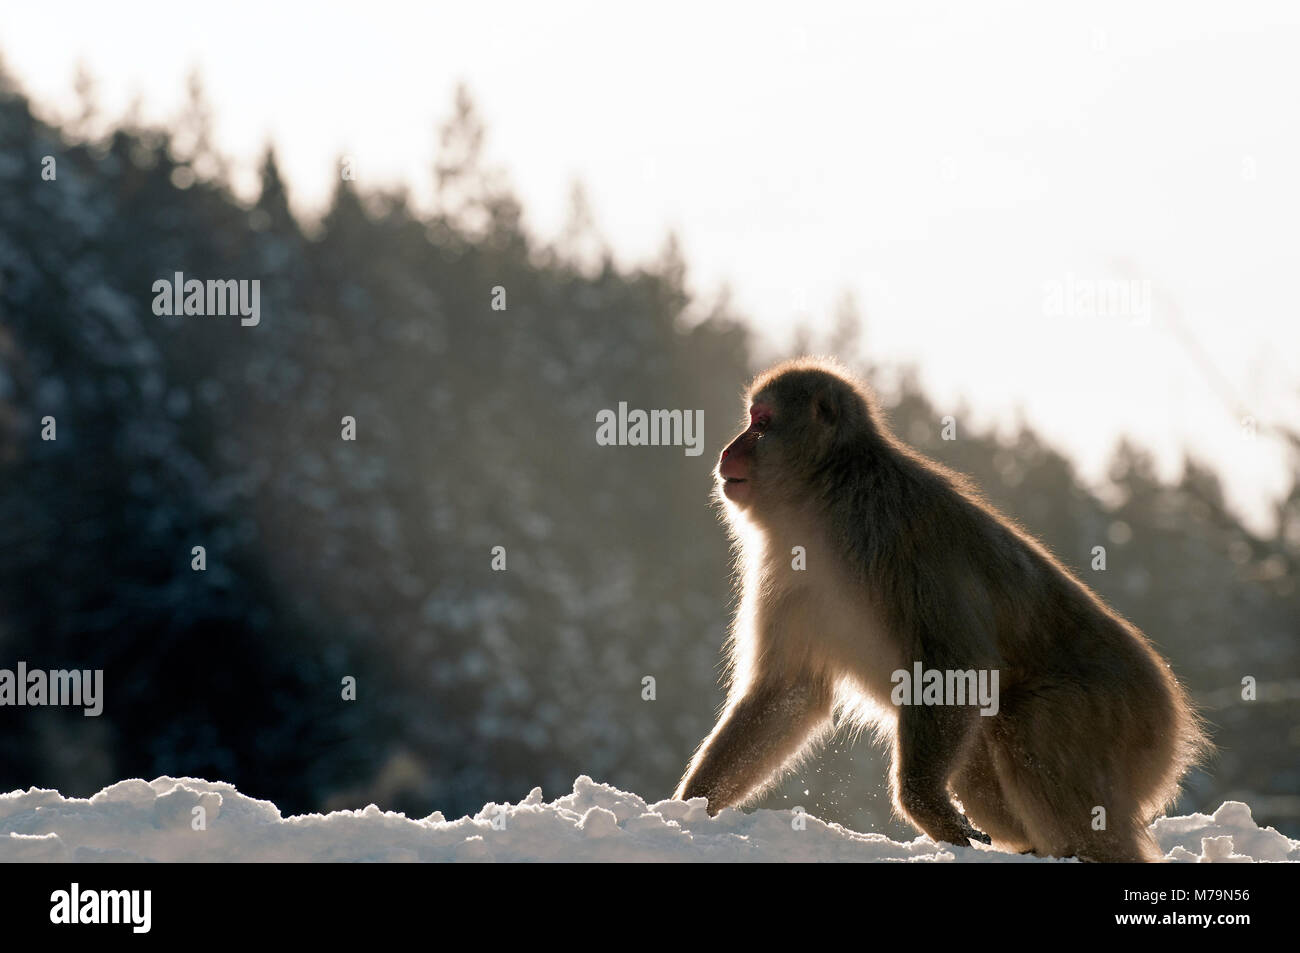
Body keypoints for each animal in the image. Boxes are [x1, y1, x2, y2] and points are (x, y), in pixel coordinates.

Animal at [673, 357, 1208, 862]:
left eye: (761, 423)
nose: (728, 450)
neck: (824, 499)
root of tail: (1173, 718)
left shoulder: (894, 541)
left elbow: (953, 667)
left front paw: (923, 804)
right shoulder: (787, 573)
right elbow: (788, 693)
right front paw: (688, 809)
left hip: (1112, 715)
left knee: (1028, 734)